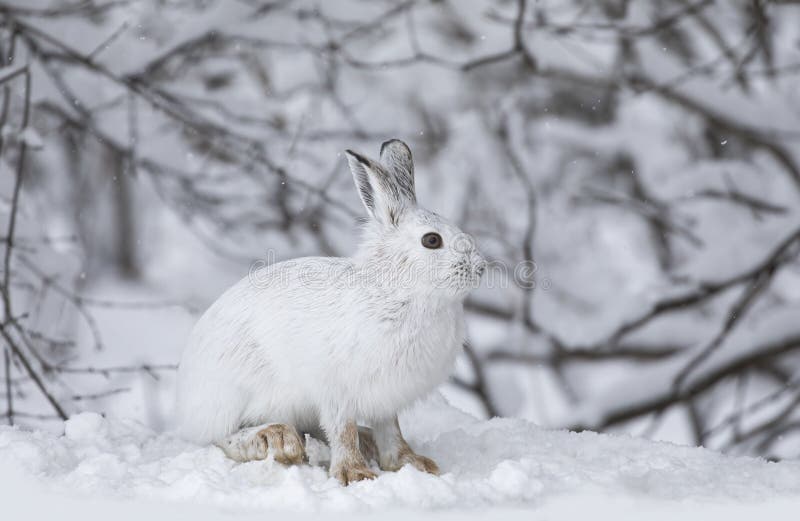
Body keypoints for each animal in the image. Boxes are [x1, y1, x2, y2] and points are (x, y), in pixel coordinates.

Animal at [175, 139, 486, 485]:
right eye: (432, 240)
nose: (480, 268)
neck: (400, 291)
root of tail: (184, 404)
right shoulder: (337, 389)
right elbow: (342, 431)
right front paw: (355, 474)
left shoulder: (386, 398)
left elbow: (391, 431)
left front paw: (412, 463)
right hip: (234, 394)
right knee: (220, 437)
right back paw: (275, 439)